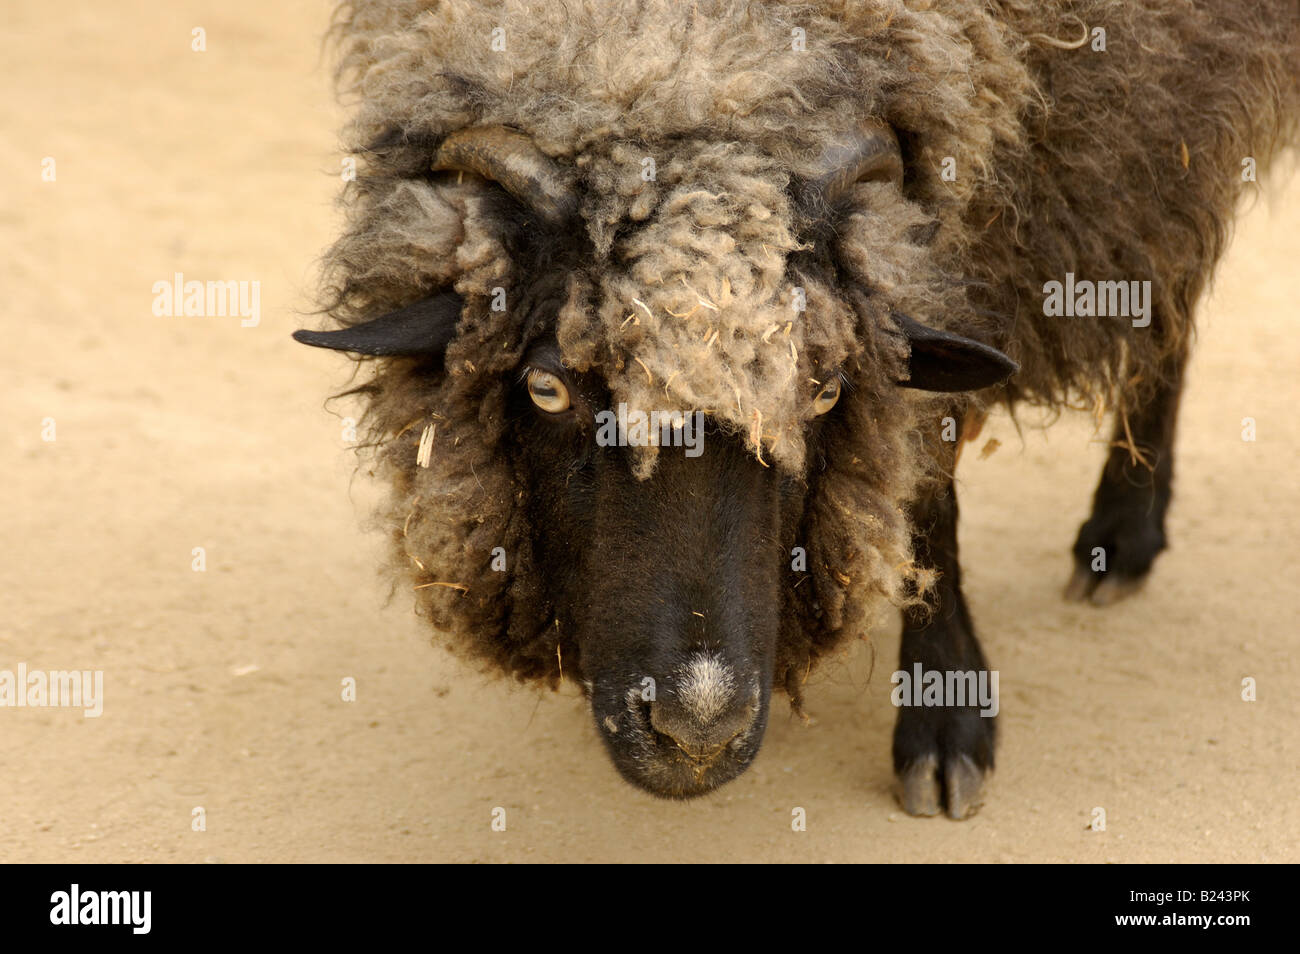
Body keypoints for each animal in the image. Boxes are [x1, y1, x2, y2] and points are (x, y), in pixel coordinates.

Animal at [295, 0, 1300, 816]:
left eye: (824, 391)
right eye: (548, 387)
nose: (697, 732)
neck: (685, 47)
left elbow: (924, 487)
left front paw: (946, 717)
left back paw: (1123, 530)